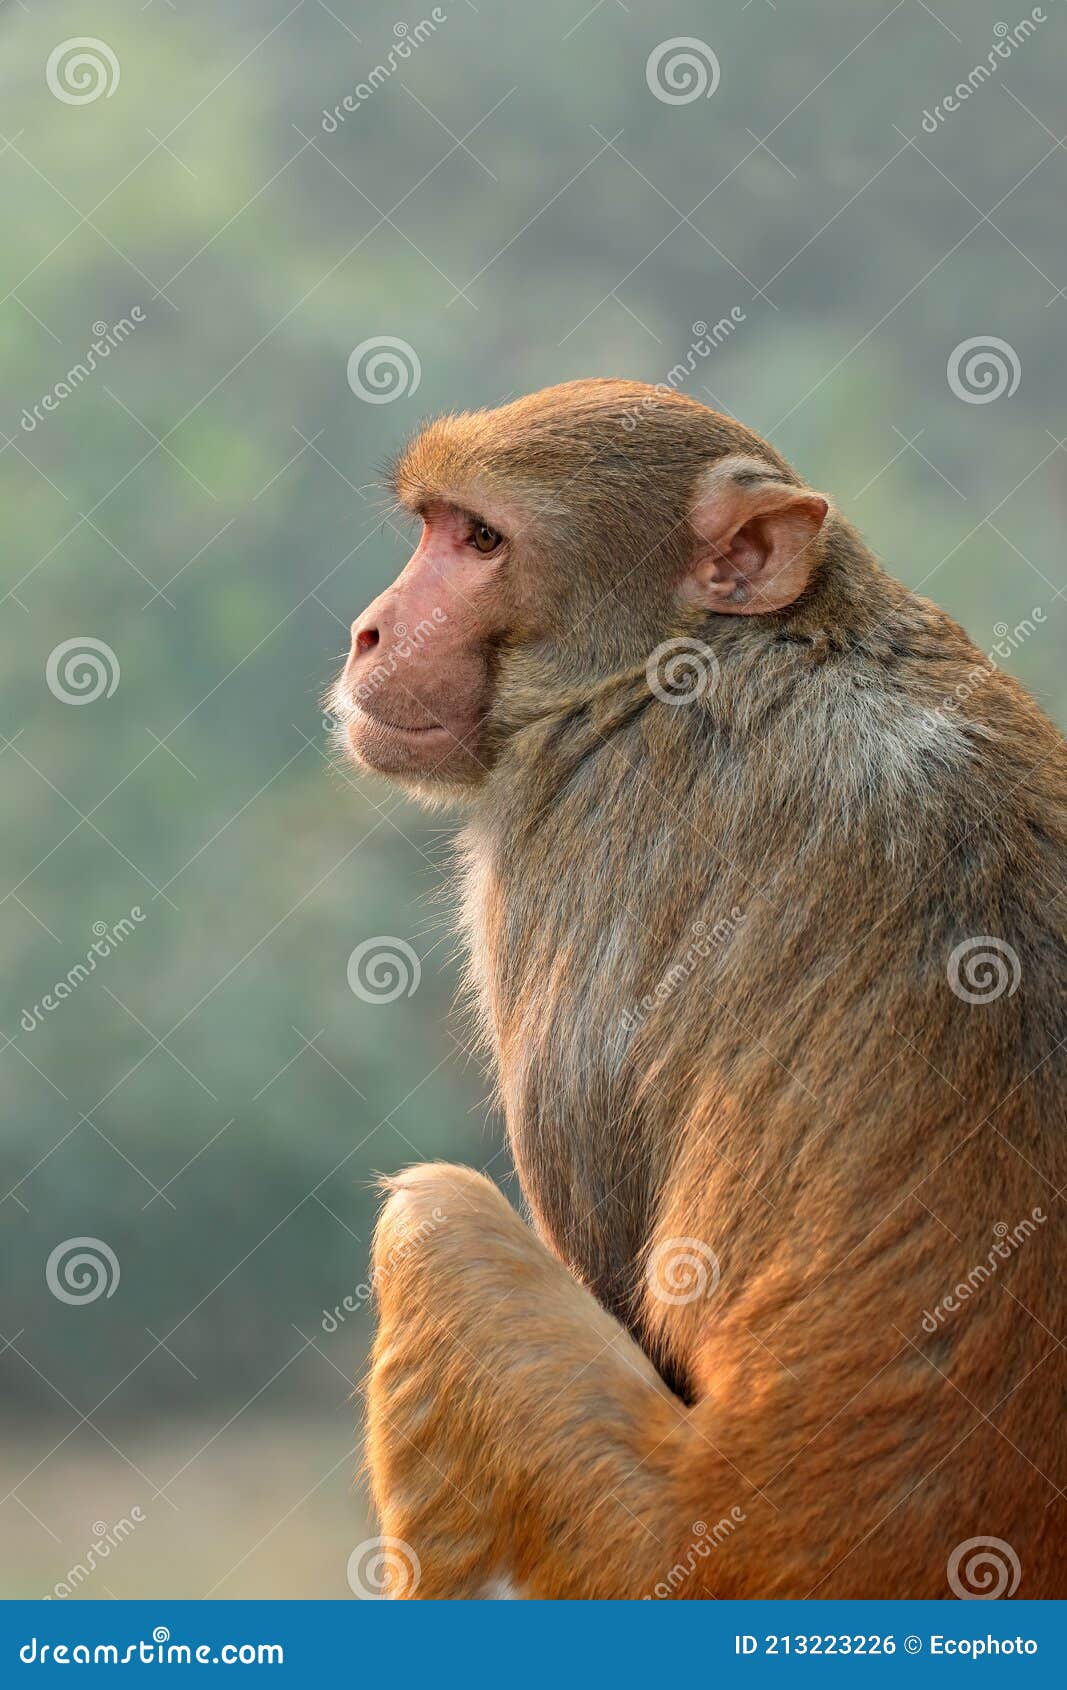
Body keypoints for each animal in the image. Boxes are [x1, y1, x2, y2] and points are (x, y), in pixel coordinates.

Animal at [327, 379, 1067, 1599]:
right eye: (432, 526)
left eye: (480, 539)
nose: (370, 631)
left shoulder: (570, 829)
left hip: (636, 1548)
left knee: (434, 1224)